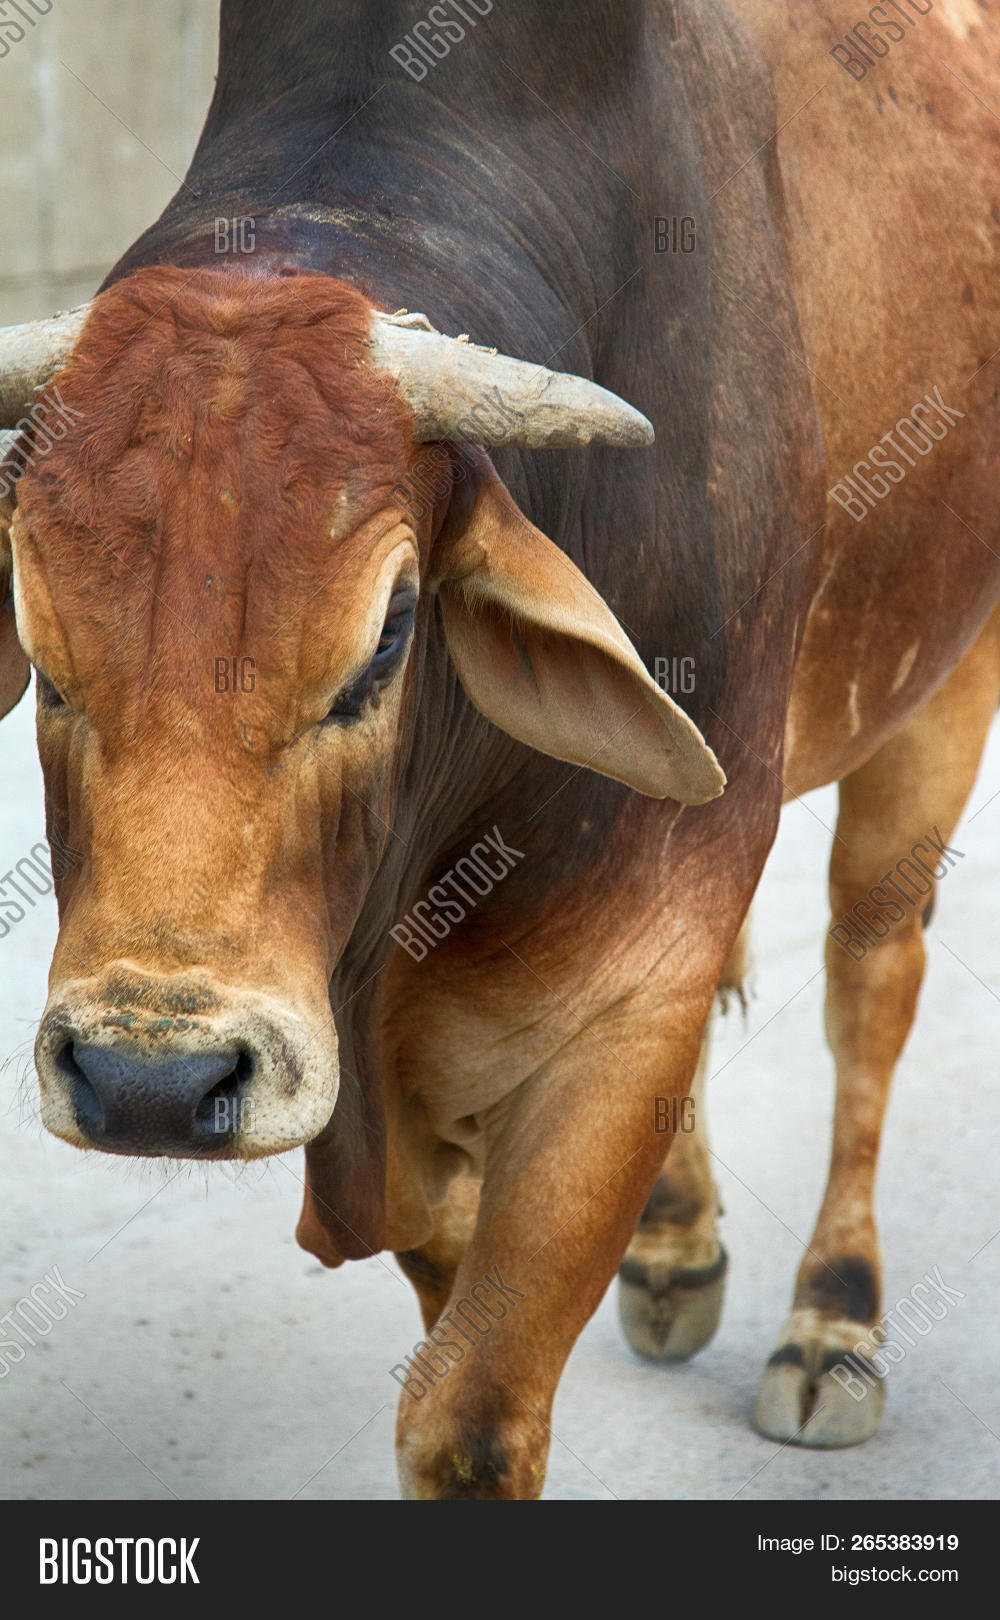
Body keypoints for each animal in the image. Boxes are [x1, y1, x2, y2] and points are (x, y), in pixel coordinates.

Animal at [1, 0, 998, 1499]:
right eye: (40, 639)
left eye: (390, 633)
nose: (151, 1081)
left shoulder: (627, 996)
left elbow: (468, 1418)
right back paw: (677, 1244)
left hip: (944, 673)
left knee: (870, 977)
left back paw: (832, 1325)